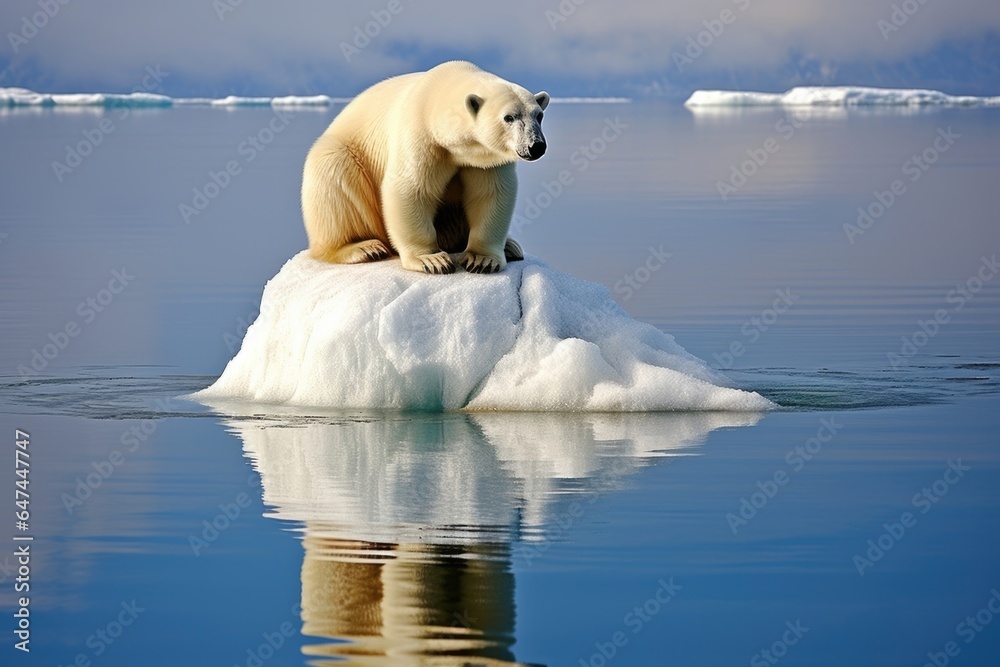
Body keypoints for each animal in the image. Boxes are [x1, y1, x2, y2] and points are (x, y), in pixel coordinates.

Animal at [301, 61, 549, 274]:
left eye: (539, 115)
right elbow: (411, 189)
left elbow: (491, 194)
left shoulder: (484, 159)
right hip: (341, 155)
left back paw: (511, 246)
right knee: (334, 178)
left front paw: (482, 259)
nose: (536, 146)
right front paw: (431, 260)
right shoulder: (421, 137)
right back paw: (362, 248)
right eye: (509, 117)